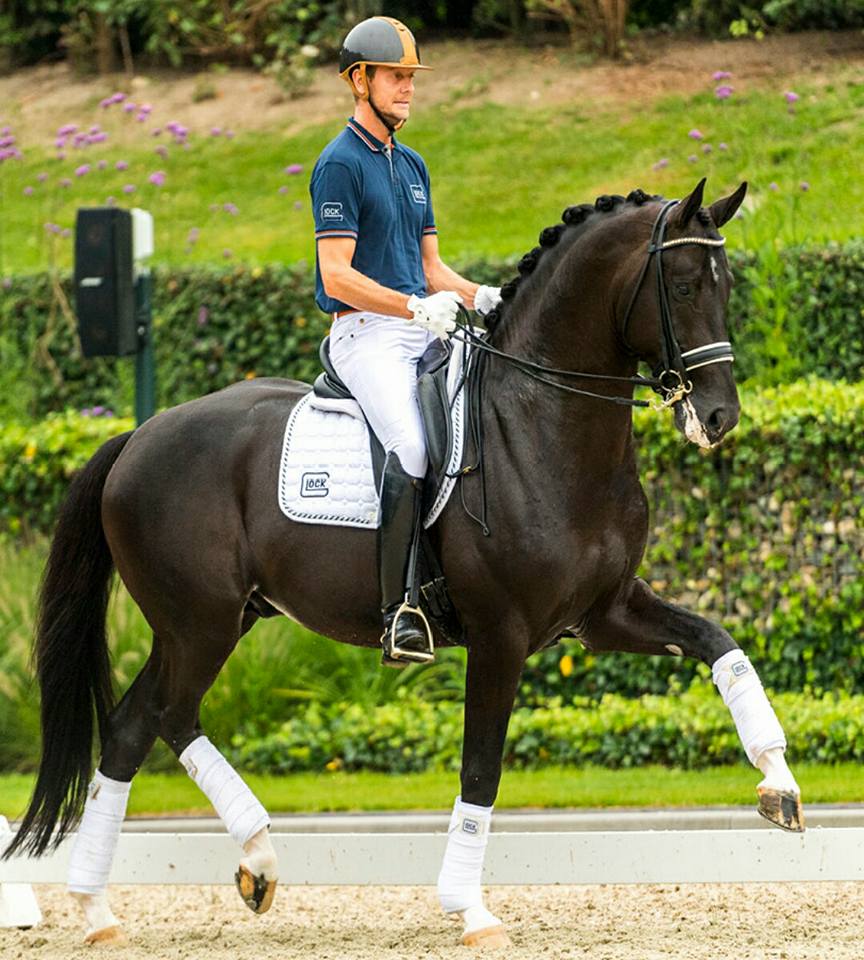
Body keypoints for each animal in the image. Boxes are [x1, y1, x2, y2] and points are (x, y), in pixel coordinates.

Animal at [4, 178, 803, 948]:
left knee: (132, 727)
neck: (542, 423)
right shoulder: (502, 636)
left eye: (727, 283)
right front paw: (471, 910)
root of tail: (137, 437)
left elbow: (720, 644)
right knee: (169, 713)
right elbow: (481, 767)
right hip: (200, 624)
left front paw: (779, 783)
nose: (719, 416)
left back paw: (104, 908)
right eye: (682, 286)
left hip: (209, 622)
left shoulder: (603, 614)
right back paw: (252, 853)